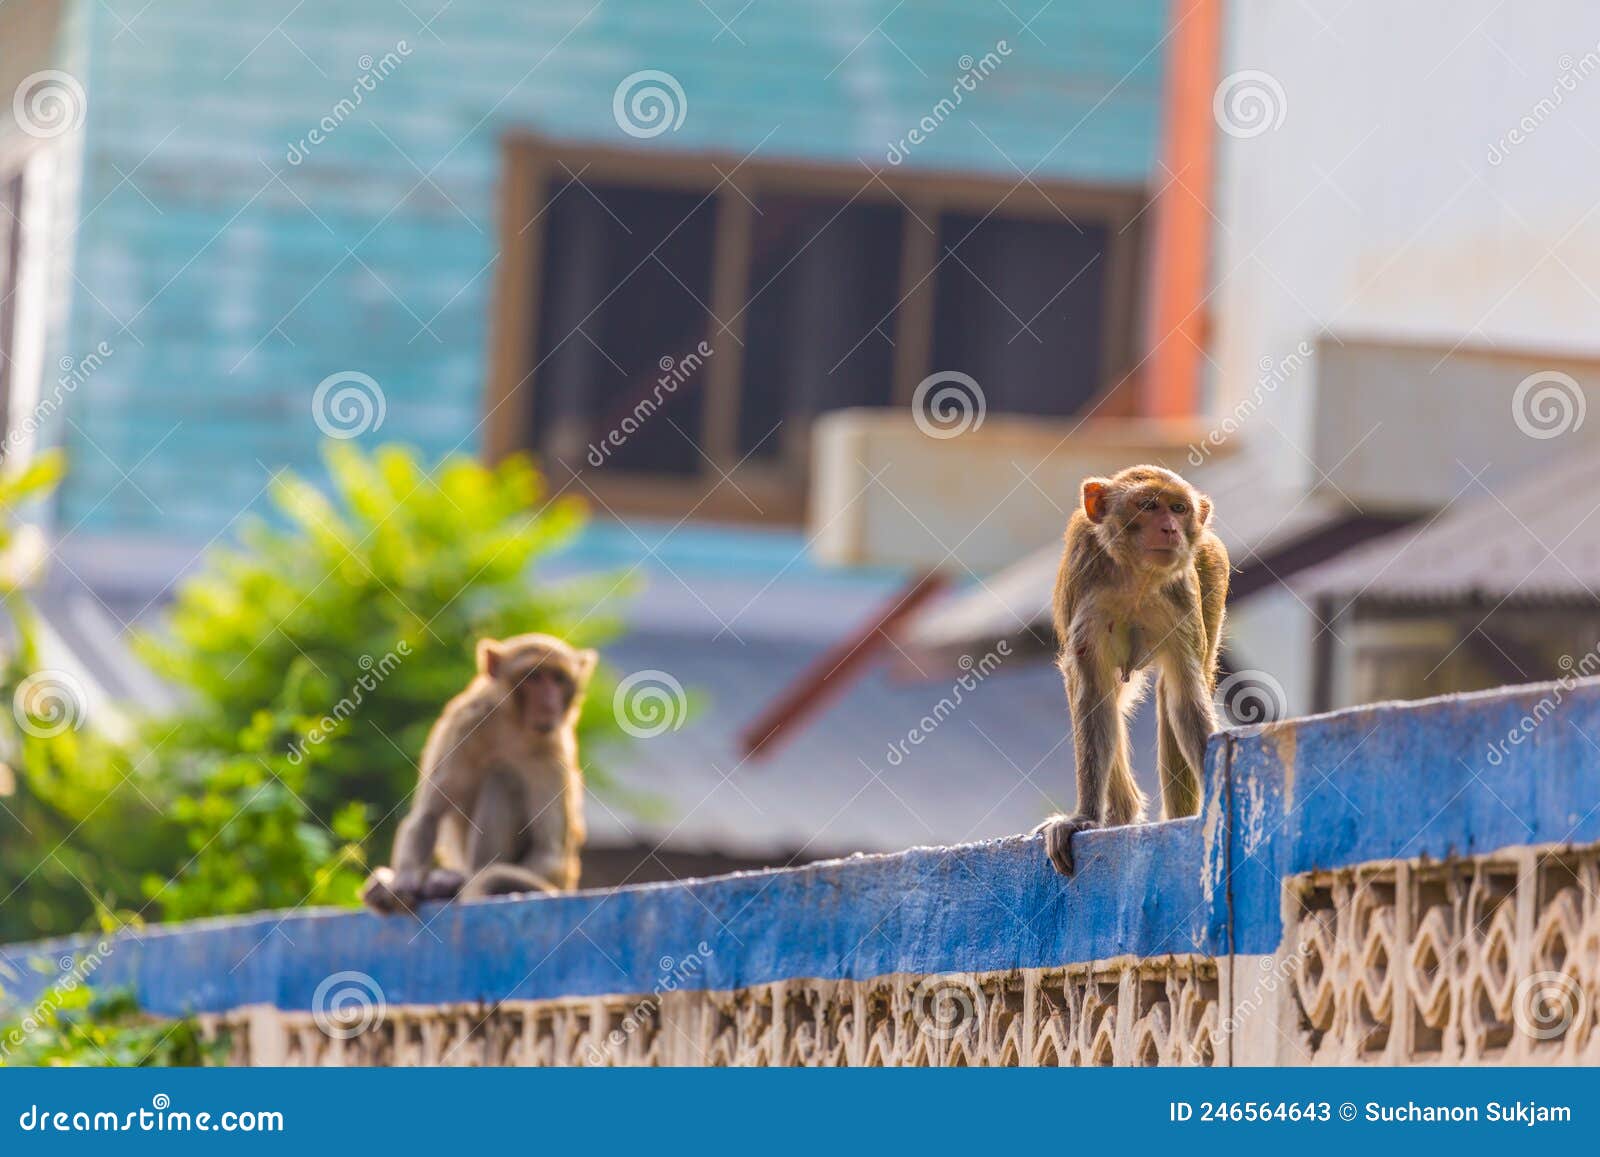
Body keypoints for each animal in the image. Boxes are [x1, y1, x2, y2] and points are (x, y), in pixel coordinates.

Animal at [361, 633, 596, 914]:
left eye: (558, 679)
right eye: (534, 677)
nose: (549, 702)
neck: (513, 726)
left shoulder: (553, 754)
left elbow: (548, 852)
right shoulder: (463, 724)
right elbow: (427, 816)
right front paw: (405, 882)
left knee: (503, 777)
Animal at [1034, 465, 1228, 877]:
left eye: (1178, 508)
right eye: (1148, 505)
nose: (1170, 528)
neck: (1137, 578)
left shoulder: (1183, 598)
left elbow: (1186, 699)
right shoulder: (1086, 593)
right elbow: (1094, 696)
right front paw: (1084, 817)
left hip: (1212, 570)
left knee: (1171, 694)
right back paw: (1121, 811)